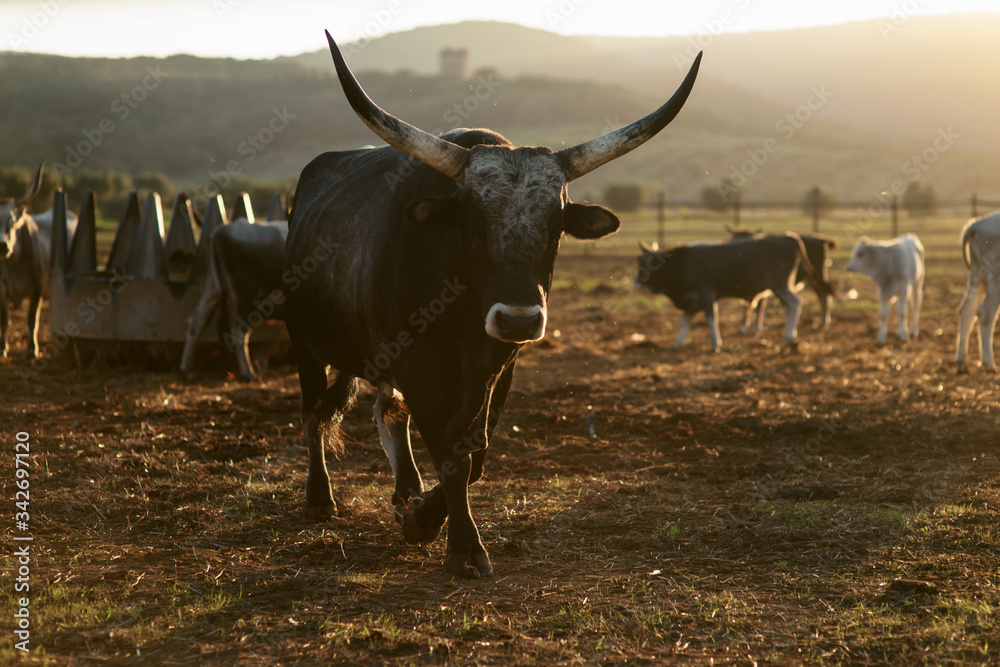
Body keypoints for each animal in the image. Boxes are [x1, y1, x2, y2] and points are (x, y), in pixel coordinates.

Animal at [0, 163, 76, 359]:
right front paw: (3, 348)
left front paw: (31, 350)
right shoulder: (1, 289)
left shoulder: (37, 287)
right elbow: (5, 320)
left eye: (11, 221)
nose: (2, 246)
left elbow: (32, 319)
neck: (13, 265)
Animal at [180, 218, 288, 381]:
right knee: (238, 332)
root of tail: (221, 230)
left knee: (196, 322)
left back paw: (186, 370)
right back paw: (248, 373)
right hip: (246, 295)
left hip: (212, 287)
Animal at [282, 31, 700, 578]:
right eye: (473, 226)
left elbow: (474, 450)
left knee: (387, 412)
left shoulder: (500, 365)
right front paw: (461, 545)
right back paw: (320, 498)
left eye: (556, 226)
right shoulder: (418, 365)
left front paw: (421, 515)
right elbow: (451, 452)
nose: (518, 318)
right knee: (314, 413)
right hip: (304, 341)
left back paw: (406, 490)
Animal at [634, 233, 827, 352]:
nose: (636, 281)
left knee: (794, 303)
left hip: (779, 284)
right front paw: (677, 344)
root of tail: (787, 237)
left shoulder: (706, 293)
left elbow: (711, 319)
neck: (682, 263)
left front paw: (716, 345)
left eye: (649, 263)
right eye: (639, 261)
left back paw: (789, 340)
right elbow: (685, 323)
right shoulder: (691, 301)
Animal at [956, 213, 1000, 373]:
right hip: (994, 277)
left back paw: (962, 363)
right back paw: (989, 364)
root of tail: (977, 224)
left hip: (977, 274)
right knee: (985, 314)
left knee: (966, 309)